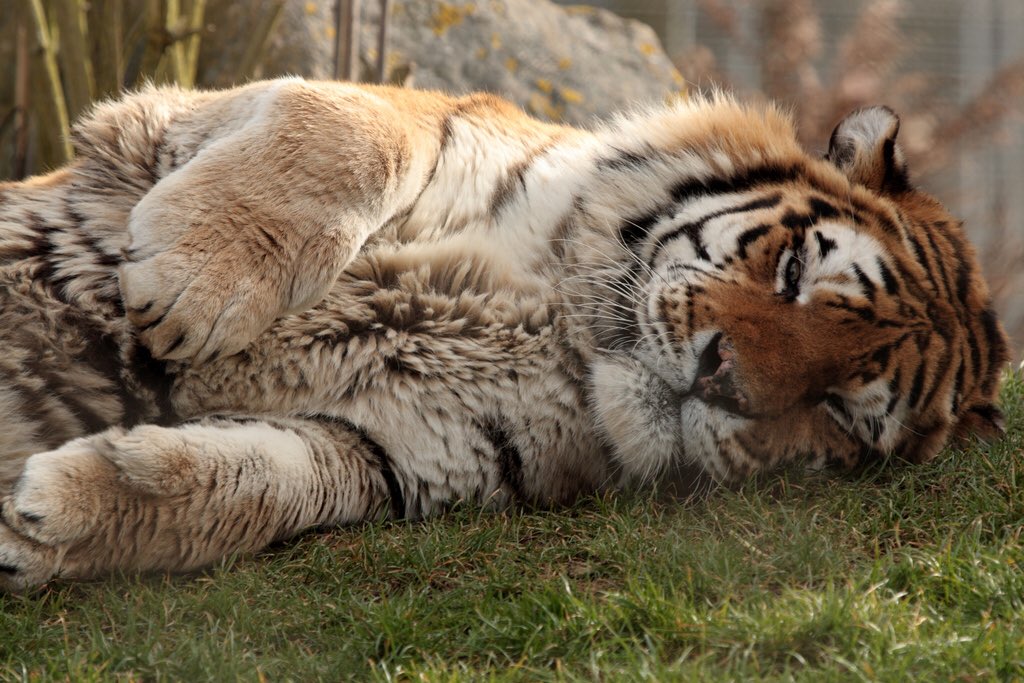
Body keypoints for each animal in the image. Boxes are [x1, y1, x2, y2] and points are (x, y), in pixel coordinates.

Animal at [0, 78, 1009, 591]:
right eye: (795, 271)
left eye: (836, 410)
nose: (722, 376)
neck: (564, 332)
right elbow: (354, 130)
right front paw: (191, 282)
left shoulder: (402, 453)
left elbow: (264, 484)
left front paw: (52, 518)